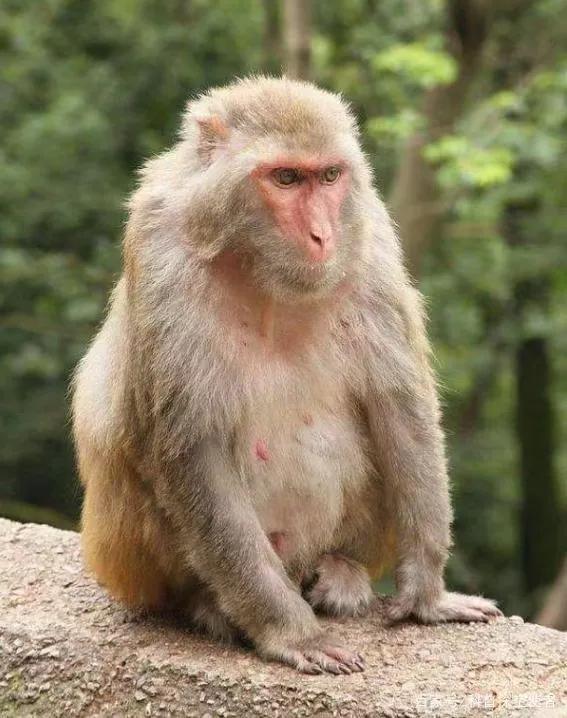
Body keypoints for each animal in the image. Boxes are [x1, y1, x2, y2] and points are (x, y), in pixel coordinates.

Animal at [72, 76, 501, 675]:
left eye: (329, 176)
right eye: (286, 178)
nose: (322, 235)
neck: (259, 268)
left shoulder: (369, 237)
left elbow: (400, 407)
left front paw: (426, 597)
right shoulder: (160, 251)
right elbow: (193, 451)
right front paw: (292, 633)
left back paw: (340, 568)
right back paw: (212, 605)